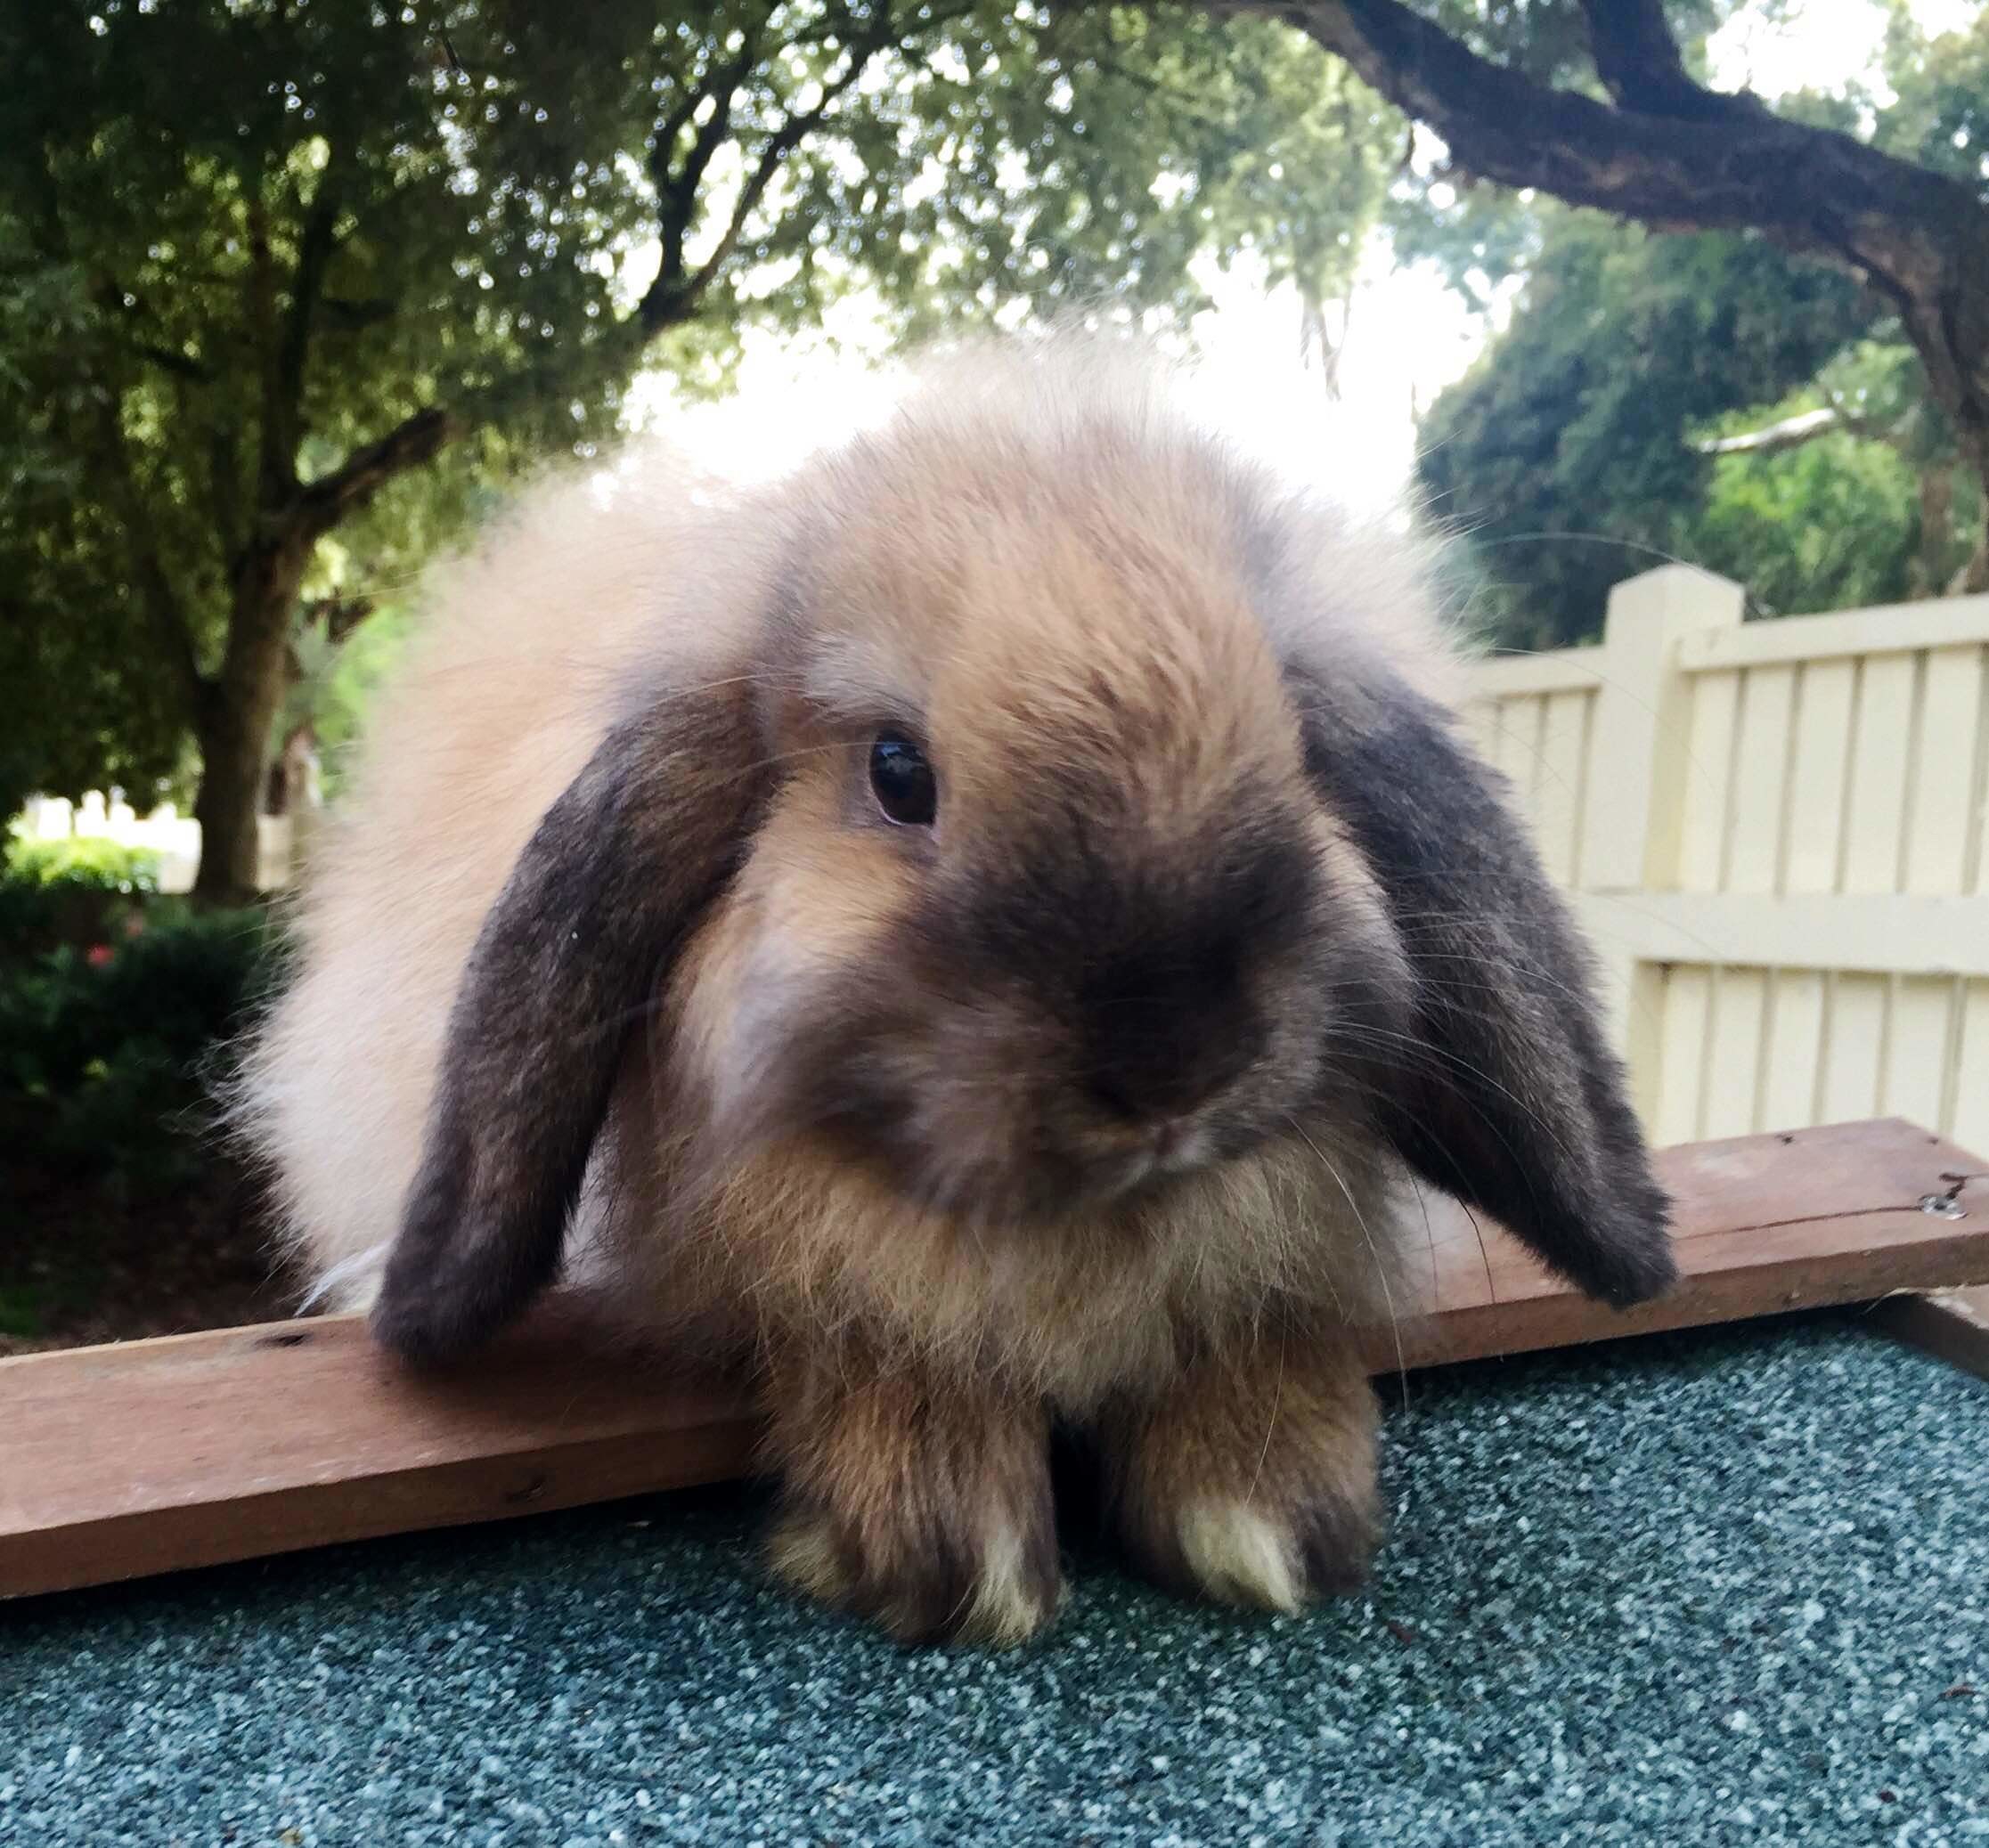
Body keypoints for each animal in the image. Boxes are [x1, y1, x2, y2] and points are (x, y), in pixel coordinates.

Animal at [241, 332, 1674, 1646]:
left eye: (1299, 749)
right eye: (896, 772)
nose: (1173, 1067)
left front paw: (1273, 1514)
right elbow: (874, 1335)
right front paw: (943, 1547)